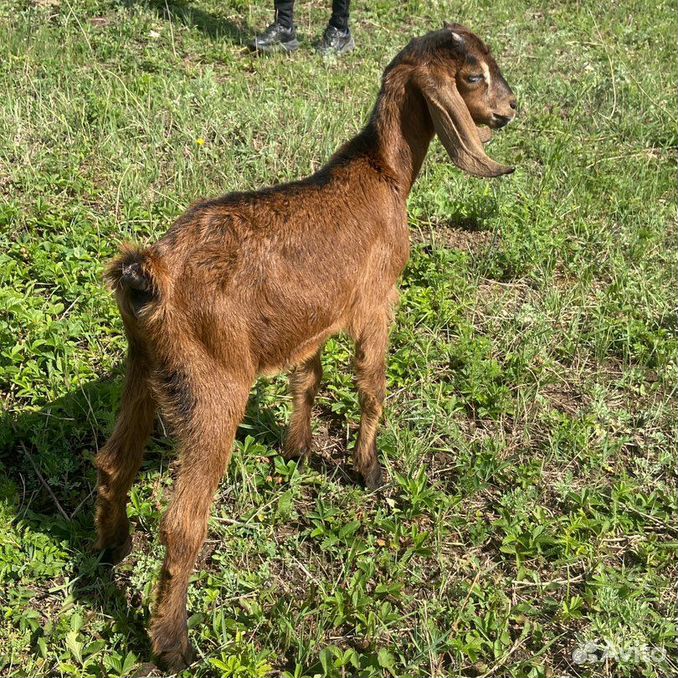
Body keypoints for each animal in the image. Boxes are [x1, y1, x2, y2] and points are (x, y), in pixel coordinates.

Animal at [95, 23, 516, 672]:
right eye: (473, 76)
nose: (511, 108)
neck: (383, 173)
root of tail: (152, 272)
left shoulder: (313, 320)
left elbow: (308, 379)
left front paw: (297, 449)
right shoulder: (377, 301)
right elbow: (371, 386)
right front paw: (368, 470)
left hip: (144, 369)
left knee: (114, 463)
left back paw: (112, 547)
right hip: (213, 387)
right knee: (183, 523)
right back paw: (172, 643)